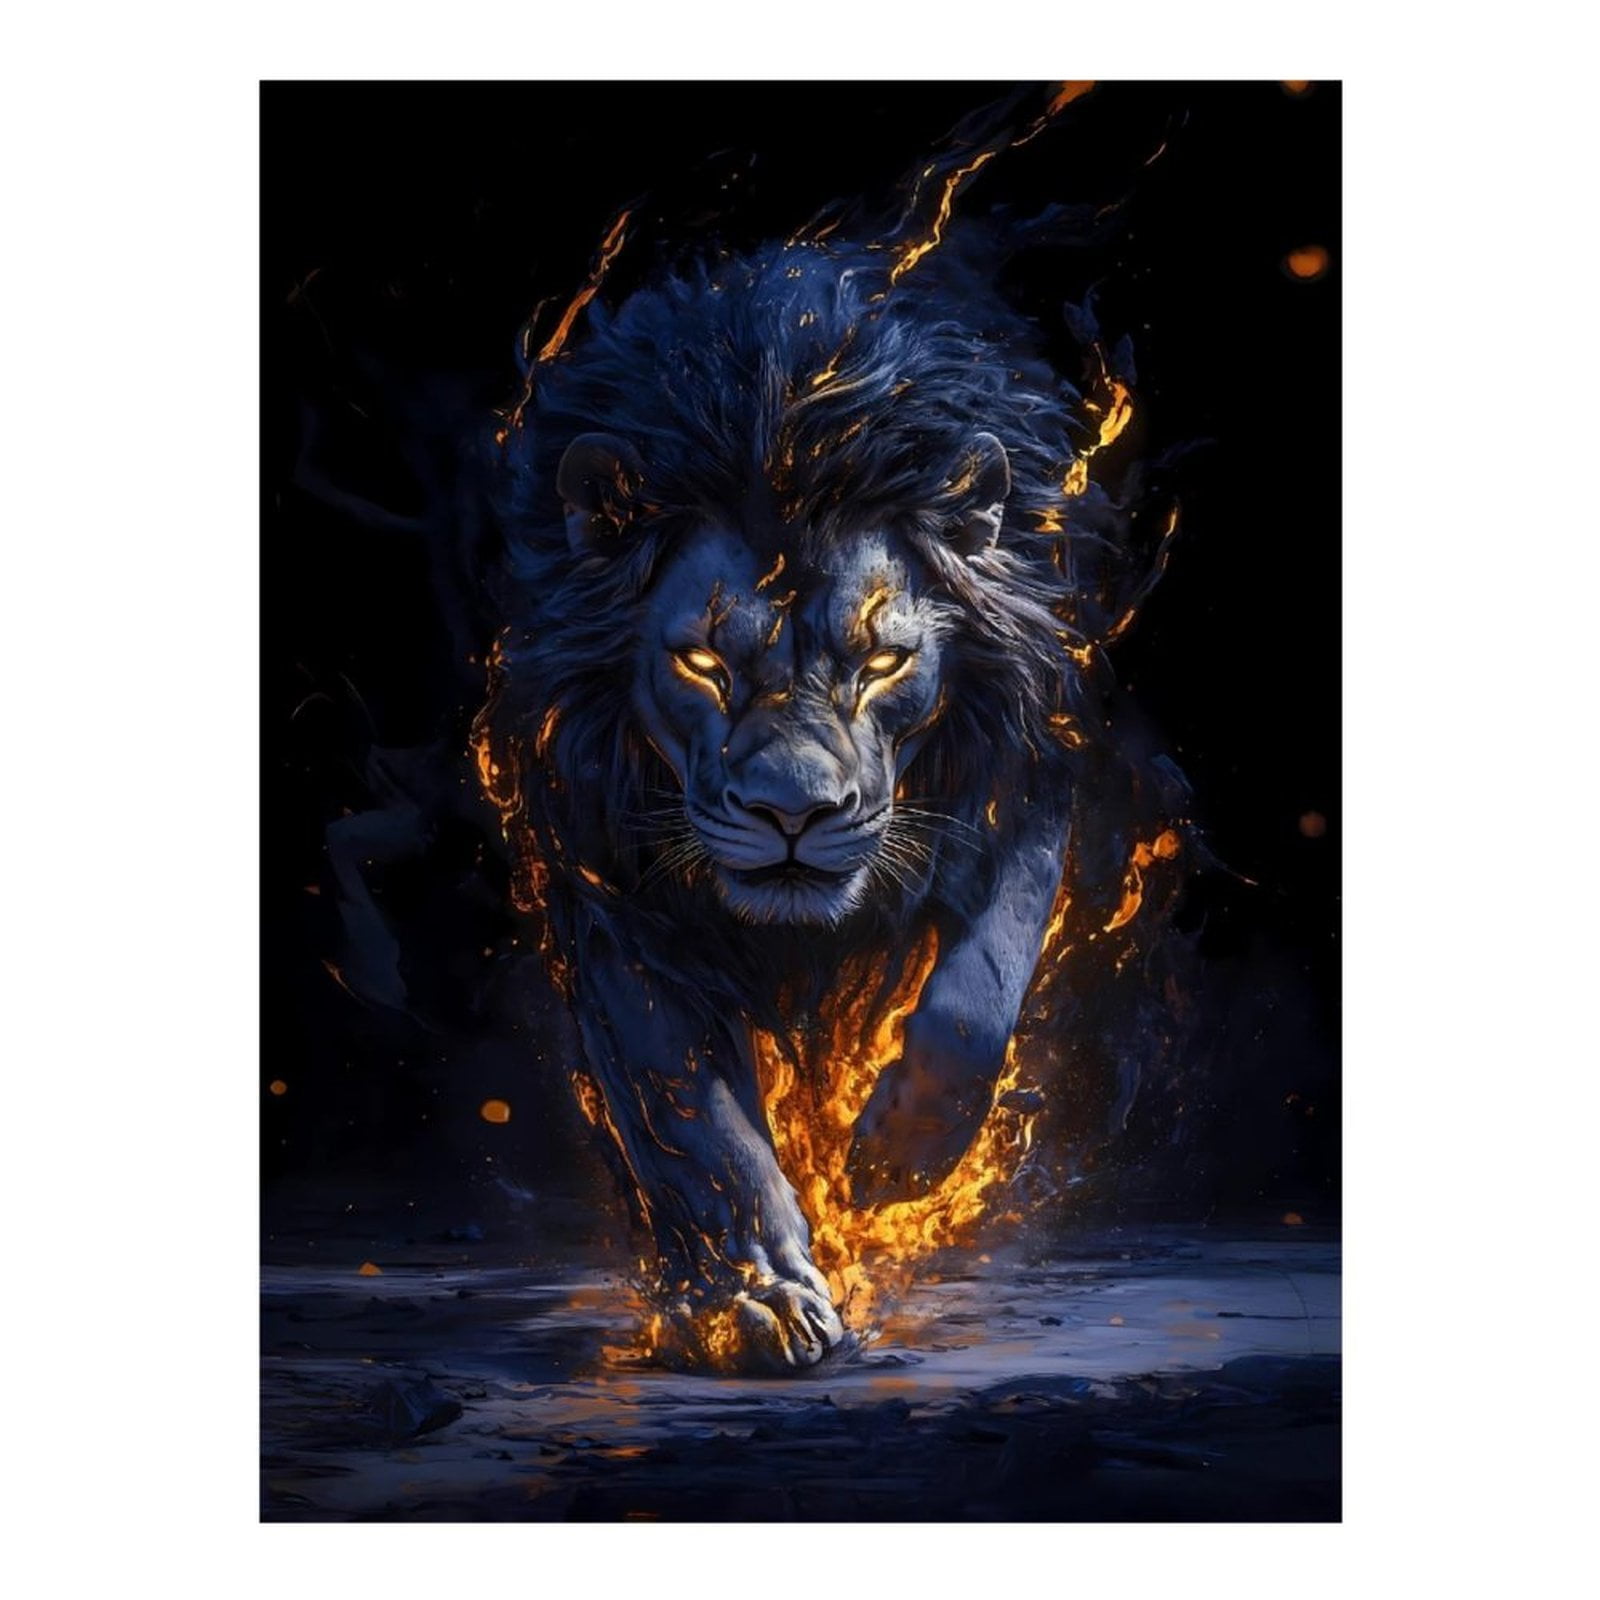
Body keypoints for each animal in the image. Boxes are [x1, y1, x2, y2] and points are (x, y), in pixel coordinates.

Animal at [476, 236, 1161, 1373]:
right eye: (704, 663)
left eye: (881, 660)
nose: (790, 813)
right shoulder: (609, 880)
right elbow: (690, 1113)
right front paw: (750, 1296)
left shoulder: (1025, 778)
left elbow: (977, 989)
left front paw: (896, 1159)